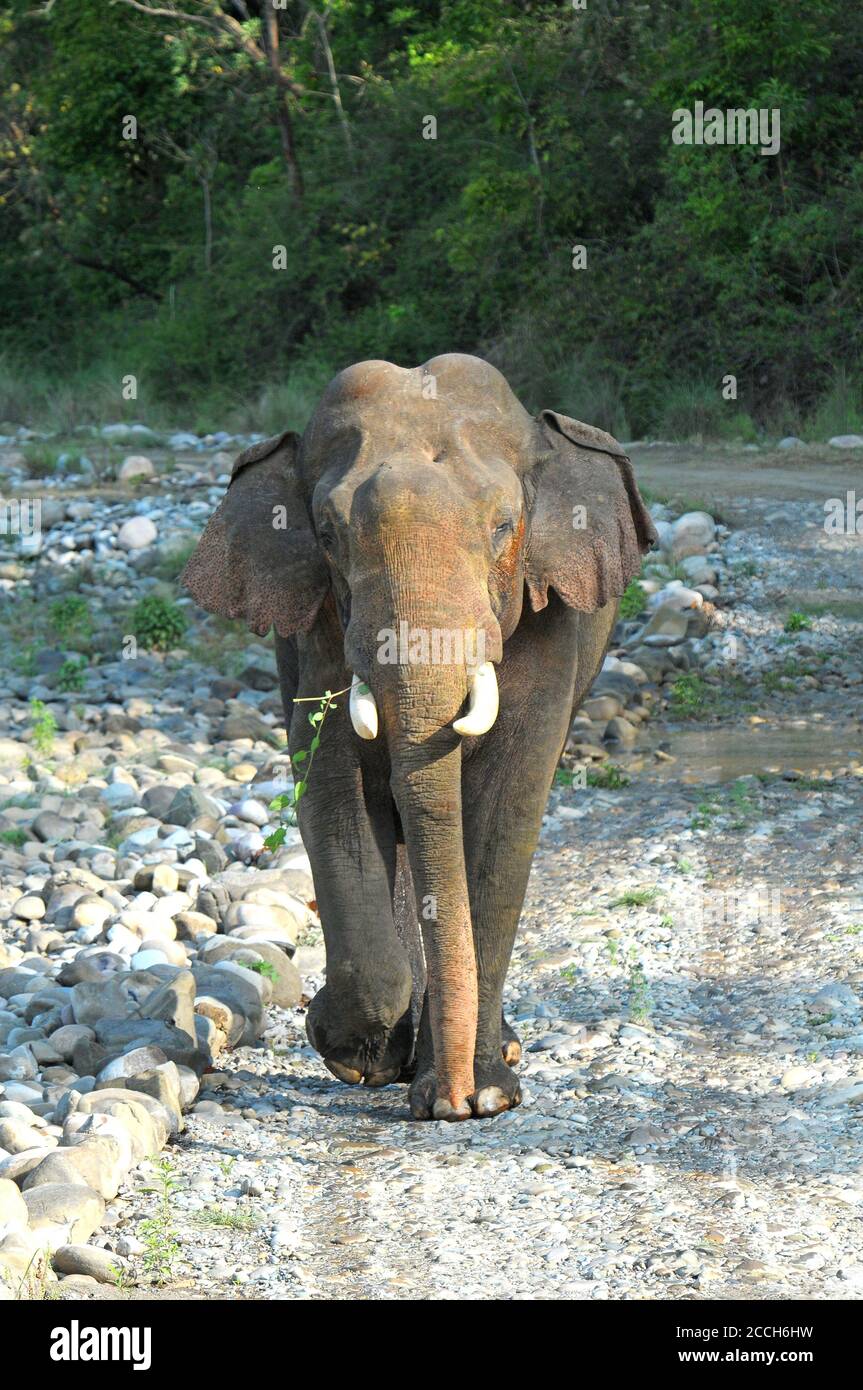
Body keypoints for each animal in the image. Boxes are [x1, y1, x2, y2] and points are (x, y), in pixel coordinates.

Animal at [182, 354, 656, 1121]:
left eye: (503, 527)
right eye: (327, 534)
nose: (453, 1101)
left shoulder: (549, 623)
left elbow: (504, 811)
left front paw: (484, 1096)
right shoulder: (319, 630)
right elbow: (334, 792)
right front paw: (354, 1052)